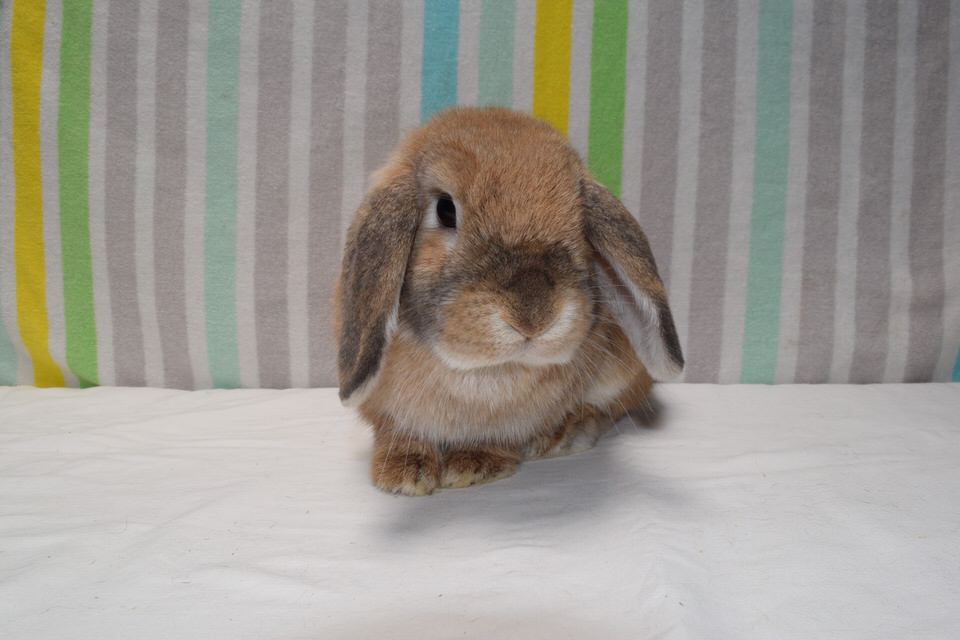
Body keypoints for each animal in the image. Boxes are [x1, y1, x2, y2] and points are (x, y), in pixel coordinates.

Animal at [334, 107, 683, 496]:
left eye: (579, 220)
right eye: (445, 210)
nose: (533, 314)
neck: (486, 371)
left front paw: (475, 465)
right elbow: (399, 434)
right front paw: (404, 474)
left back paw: (569, 432)